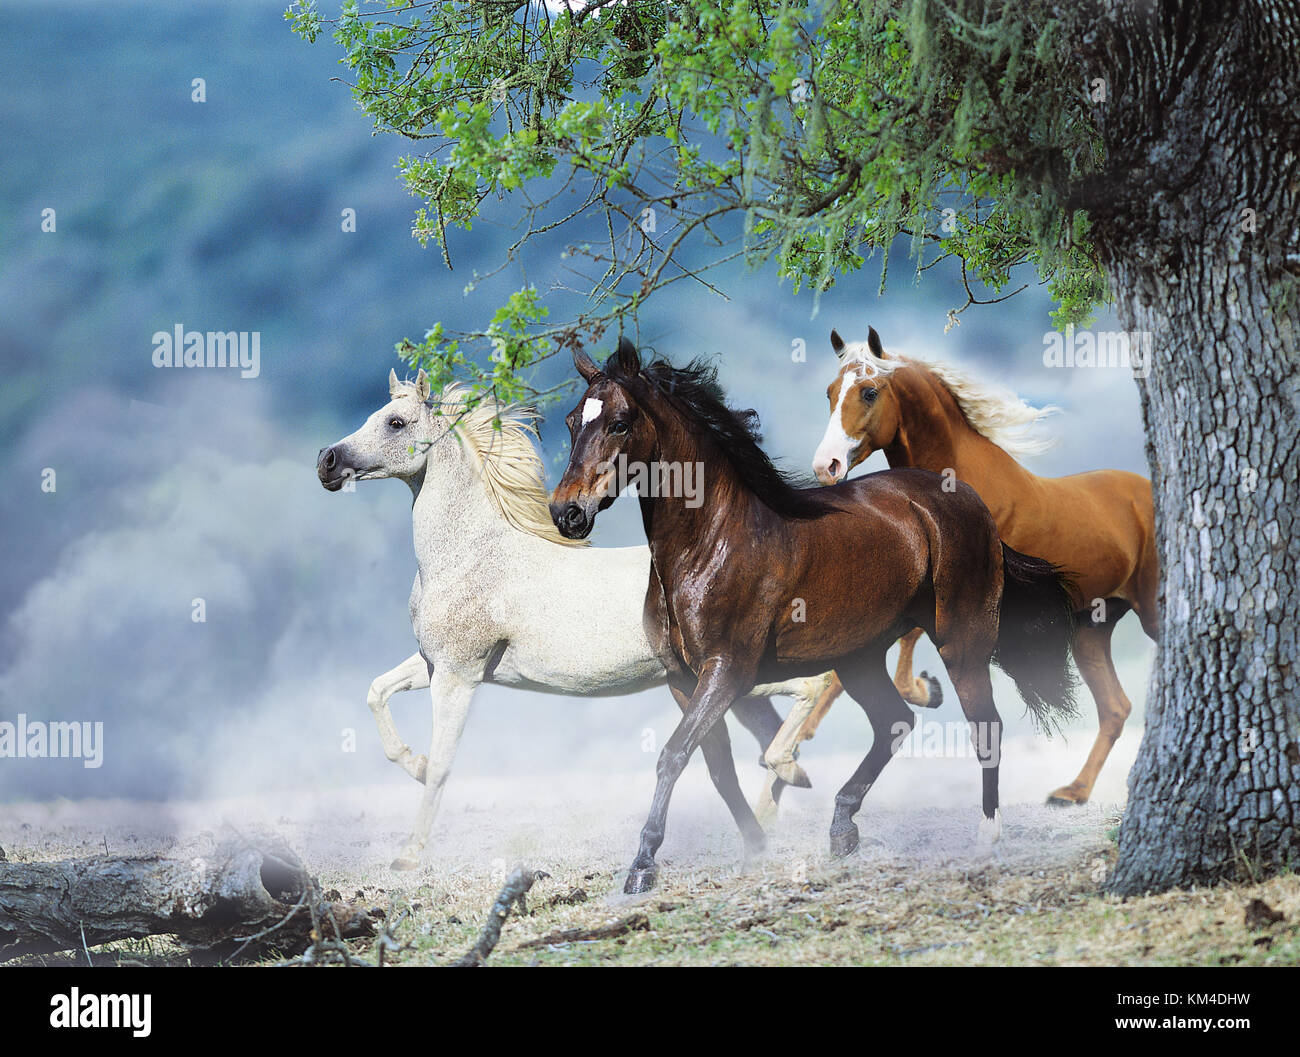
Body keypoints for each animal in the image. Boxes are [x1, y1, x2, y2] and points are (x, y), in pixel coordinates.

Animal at [316, 368, 841, 868]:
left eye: (395, 422)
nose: (327, 461)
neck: (471, 556)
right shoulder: (435, 664)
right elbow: (377, 693)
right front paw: (415, 762)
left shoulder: (458, 674)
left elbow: (445, 765)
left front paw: (408, 855)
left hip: (737, 669)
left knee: (812, 688)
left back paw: (785, 779)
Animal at [550, 340, 1078, 893]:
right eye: (571, 420)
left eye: (620, 422)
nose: (566, 513)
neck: (709, 543)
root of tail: (970, 502)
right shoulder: (682, 680)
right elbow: (716, 766)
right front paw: (756, 848)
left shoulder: (725, 672)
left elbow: (673, 755)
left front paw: (642, 867)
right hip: (858, 658)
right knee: (895, 722)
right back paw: (843, 828)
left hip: (961, 642)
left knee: (984, 727)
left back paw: (985, 838)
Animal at [807, 326, 1158, 805]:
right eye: (828, 392)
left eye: (869, 391)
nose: (826, 466)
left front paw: (922, 691)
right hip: (1092, 628)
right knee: (1115, 707)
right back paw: (1071, 792)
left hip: (1153, 611)